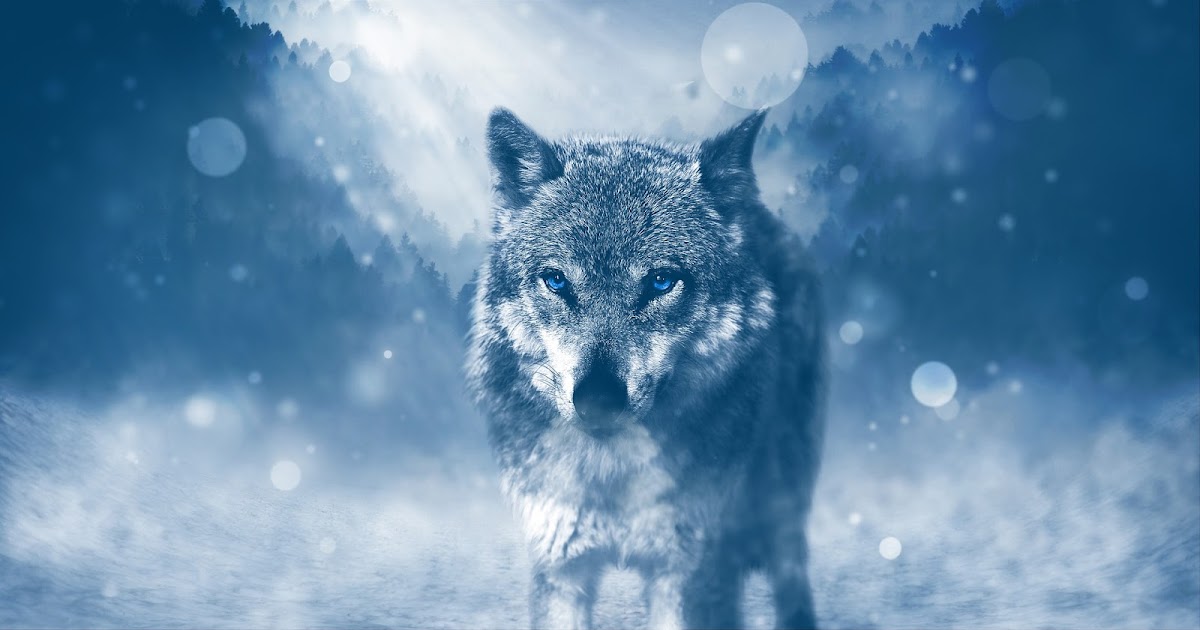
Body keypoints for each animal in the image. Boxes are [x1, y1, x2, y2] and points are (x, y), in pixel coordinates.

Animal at [466, 107, 826, 630]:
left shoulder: (688, 571)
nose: (597, 400)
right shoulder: (561, 564)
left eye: (660, 281)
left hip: (781, 497)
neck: (611, 475)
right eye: (556, 280)